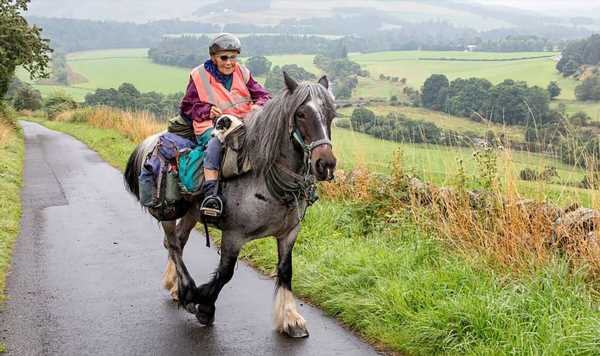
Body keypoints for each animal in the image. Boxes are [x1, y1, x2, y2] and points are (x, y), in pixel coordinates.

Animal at [122, 73, 338, 336]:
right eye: (301, 114)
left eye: (331, 114)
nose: (325, 164)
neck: (263, 177)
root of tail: (156, 140)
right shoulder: (234, 235)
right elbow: (225, 273)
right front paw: (204, 304)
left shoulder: (289, 233)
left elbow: (286, 270)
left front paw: (291, 319)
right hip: (168, 213)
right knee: (172, 245)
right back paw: (186, 290)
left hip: (192, 213)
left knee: (179, 242)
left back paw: (175, 287)